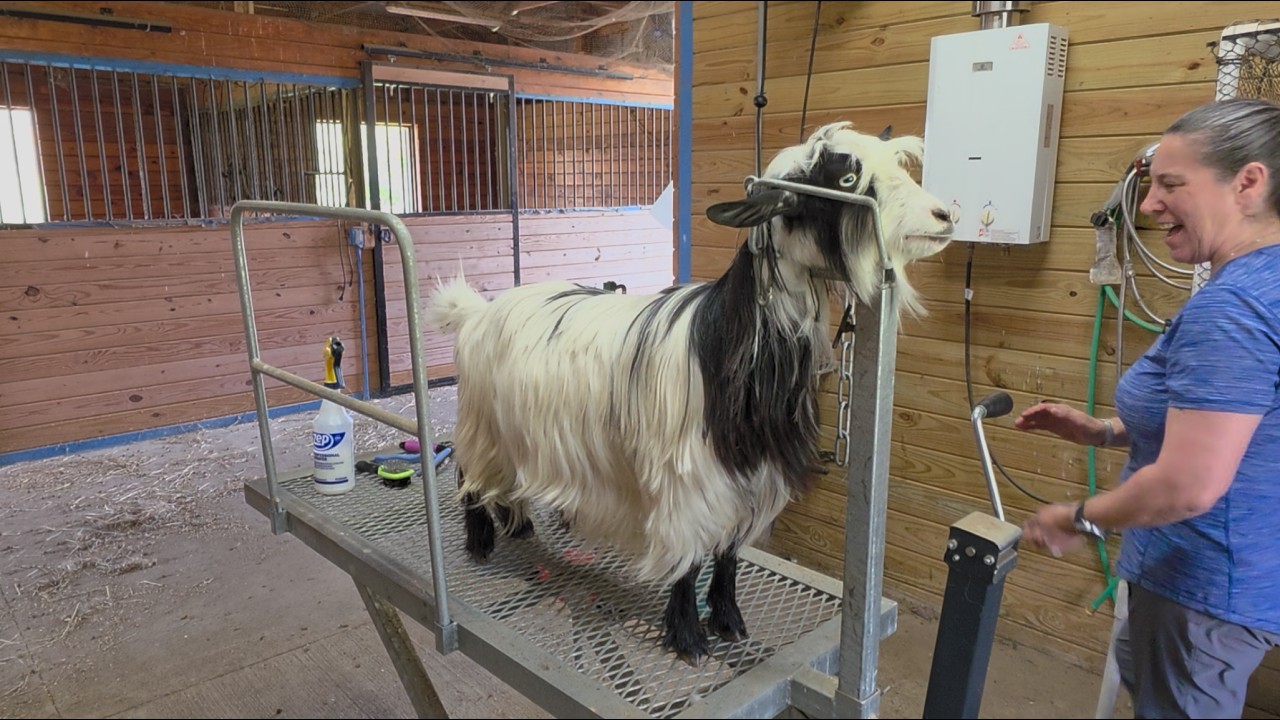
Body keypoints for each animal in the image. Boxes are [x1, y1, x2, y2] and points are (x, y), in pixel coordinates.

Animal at [425, 121, 954, 664]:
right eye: (847, 178)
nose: (944, 215)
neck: (731, 345)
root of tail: (479, 312)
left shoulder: (751, 478)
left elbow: (729, 555)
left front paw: (729, 620)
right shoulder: (687, 483)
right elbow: (689, 561)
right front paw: (688, 636)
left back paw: (520, 522)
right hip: (482, 421)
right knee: (467, 475)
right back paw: (481, 540)